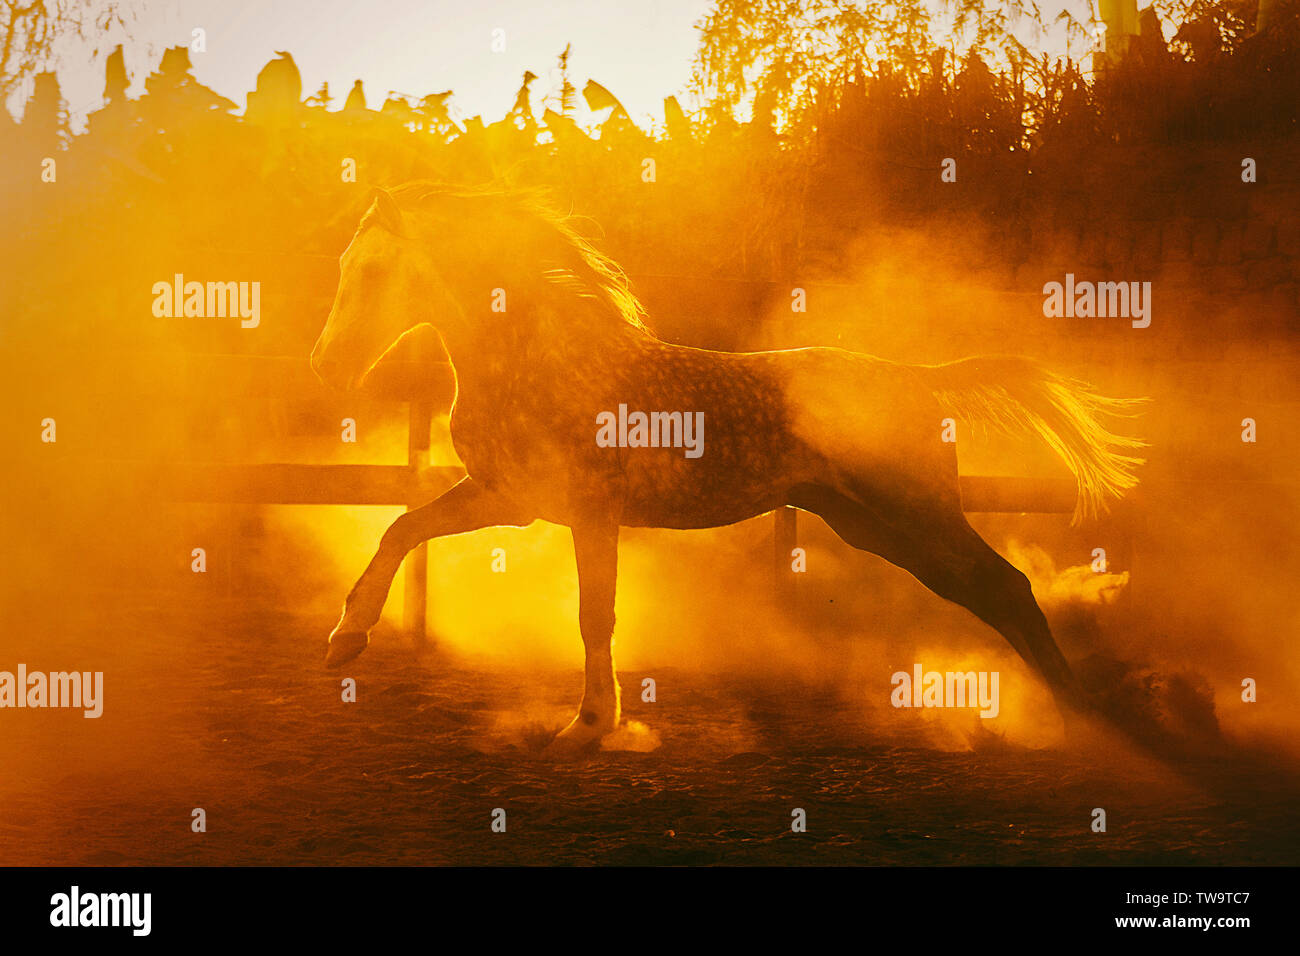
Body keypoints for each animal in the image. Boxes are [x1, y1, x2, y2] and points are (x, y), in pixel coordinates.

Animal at [309, 182, 1145, 751]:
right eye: (344, 264)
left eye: (375, 272)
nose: (329, 365)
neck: (541, 359)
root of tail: (919, 379)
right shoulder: (511, 498)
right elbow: (402, 528)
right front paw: (346, 639)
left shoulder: (588, 510)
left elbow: (594, 614)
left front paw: (590, 725)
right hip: (878, 529)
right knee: (995, 594)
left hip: (919, 516)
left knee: (1009, 588)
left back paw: (1079, 719)